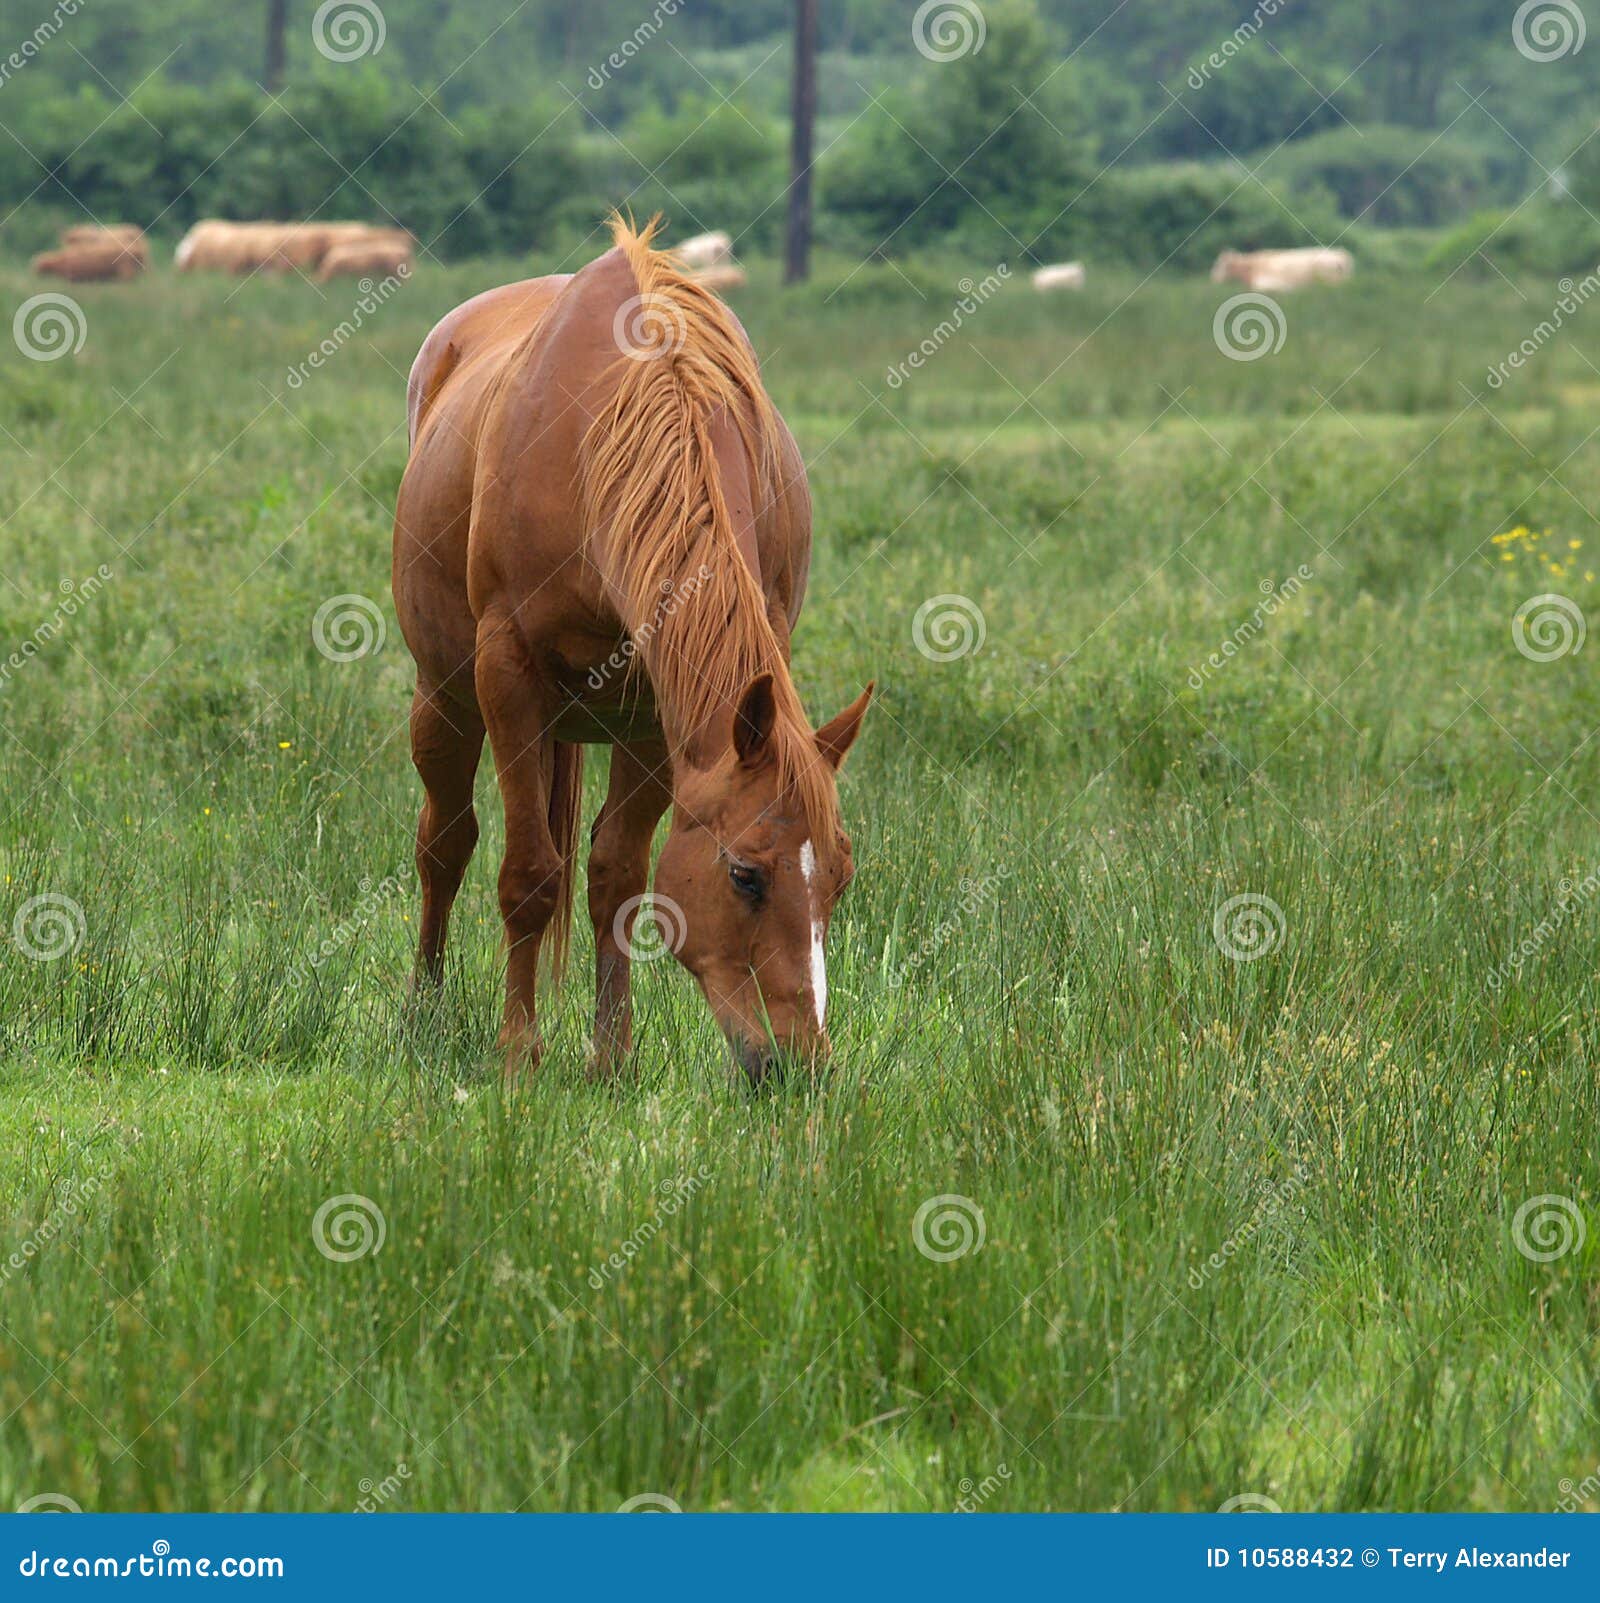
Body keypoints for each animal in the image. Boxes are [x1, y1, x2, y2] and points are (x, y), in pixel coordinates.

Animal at [391, 216, 872, 1083]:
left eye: (840, 878)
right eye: (745, 874)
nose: (801, 1064)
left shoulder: (655, 711)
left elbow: (616, 875)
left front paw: (610, 1054)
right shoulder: (509, 675)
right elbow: (529, 874)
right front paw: (519, 1051)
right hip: (443, 698)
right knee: (444, 842)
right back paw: (426, 1008)